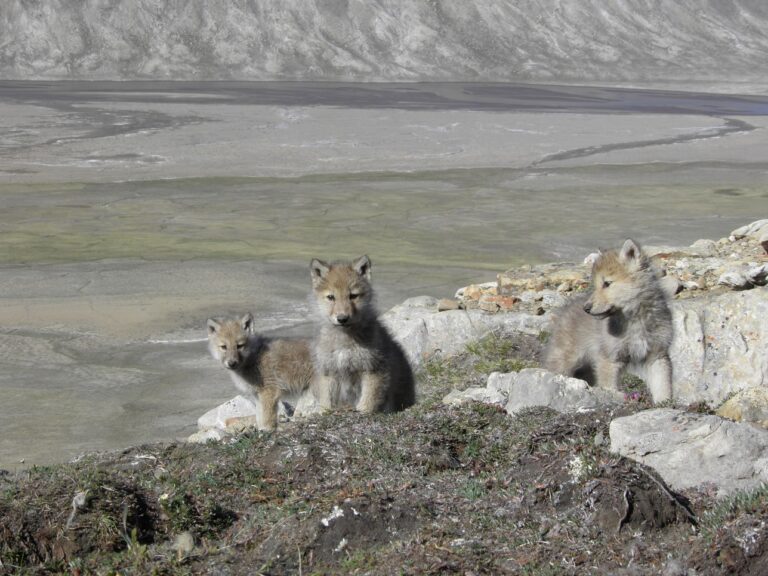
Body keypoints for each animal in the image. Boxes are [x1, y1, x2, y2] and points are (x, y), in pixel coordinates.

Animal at [309, 255, 415, 414]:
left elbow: (368, 402)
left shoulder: (373, 368)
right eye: (331, 297)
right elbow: (327, 401)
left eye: (353, 296)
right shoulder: (329, 370)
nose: (342, 318)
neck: (345, 340)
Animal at [543, 239, 674, 403]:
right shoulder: (609, 357)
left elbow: (663, 385)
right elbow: (609, 386)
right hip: (564, 361)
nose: (586, 308)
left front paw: (665, 402)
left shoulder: (657, 355)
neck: (635, 318)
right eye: (595, 284)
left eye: (607, 283)